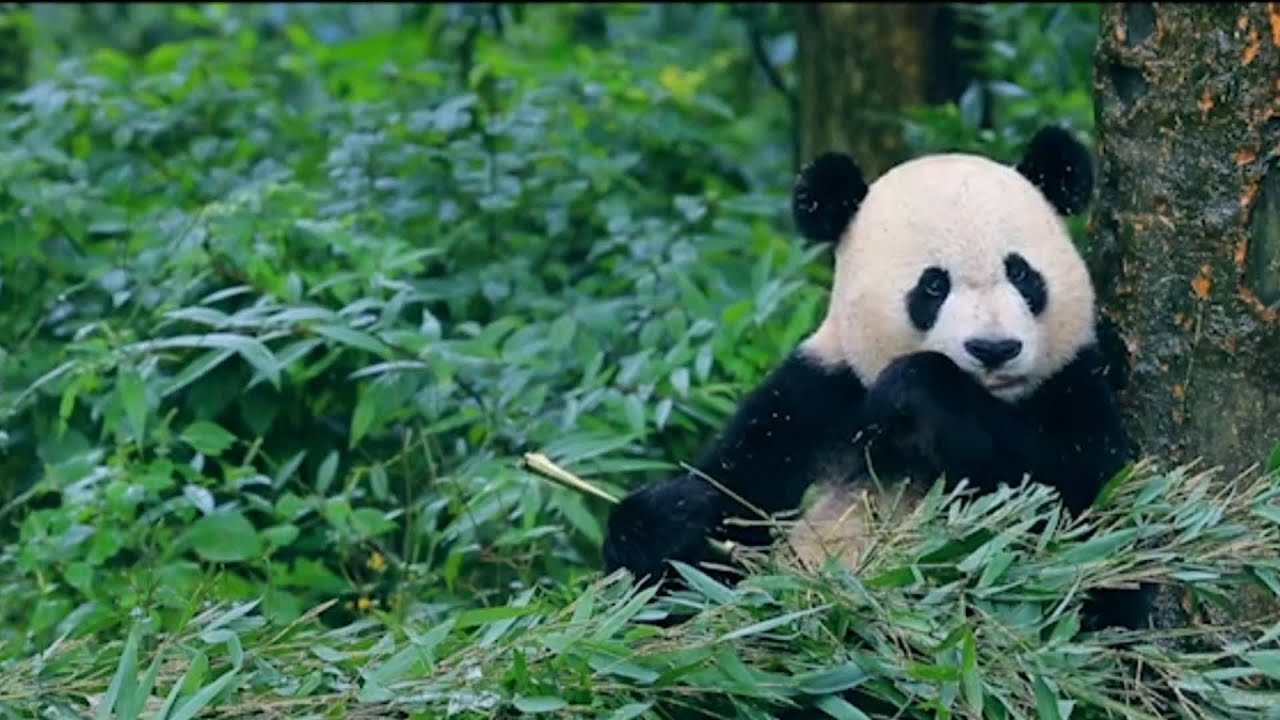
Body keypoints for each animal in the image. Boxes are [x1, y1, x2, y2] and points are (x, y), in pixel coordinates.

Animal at [601, 124, 1152, 633]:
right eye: (933, 286)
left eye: (1020, 273)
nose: (994, 349)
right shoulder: (813, 400)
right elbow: (722, 516)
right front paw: (670, 519)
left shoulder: (1072, 383)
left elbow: (1078, 507)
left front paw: (916, 388)